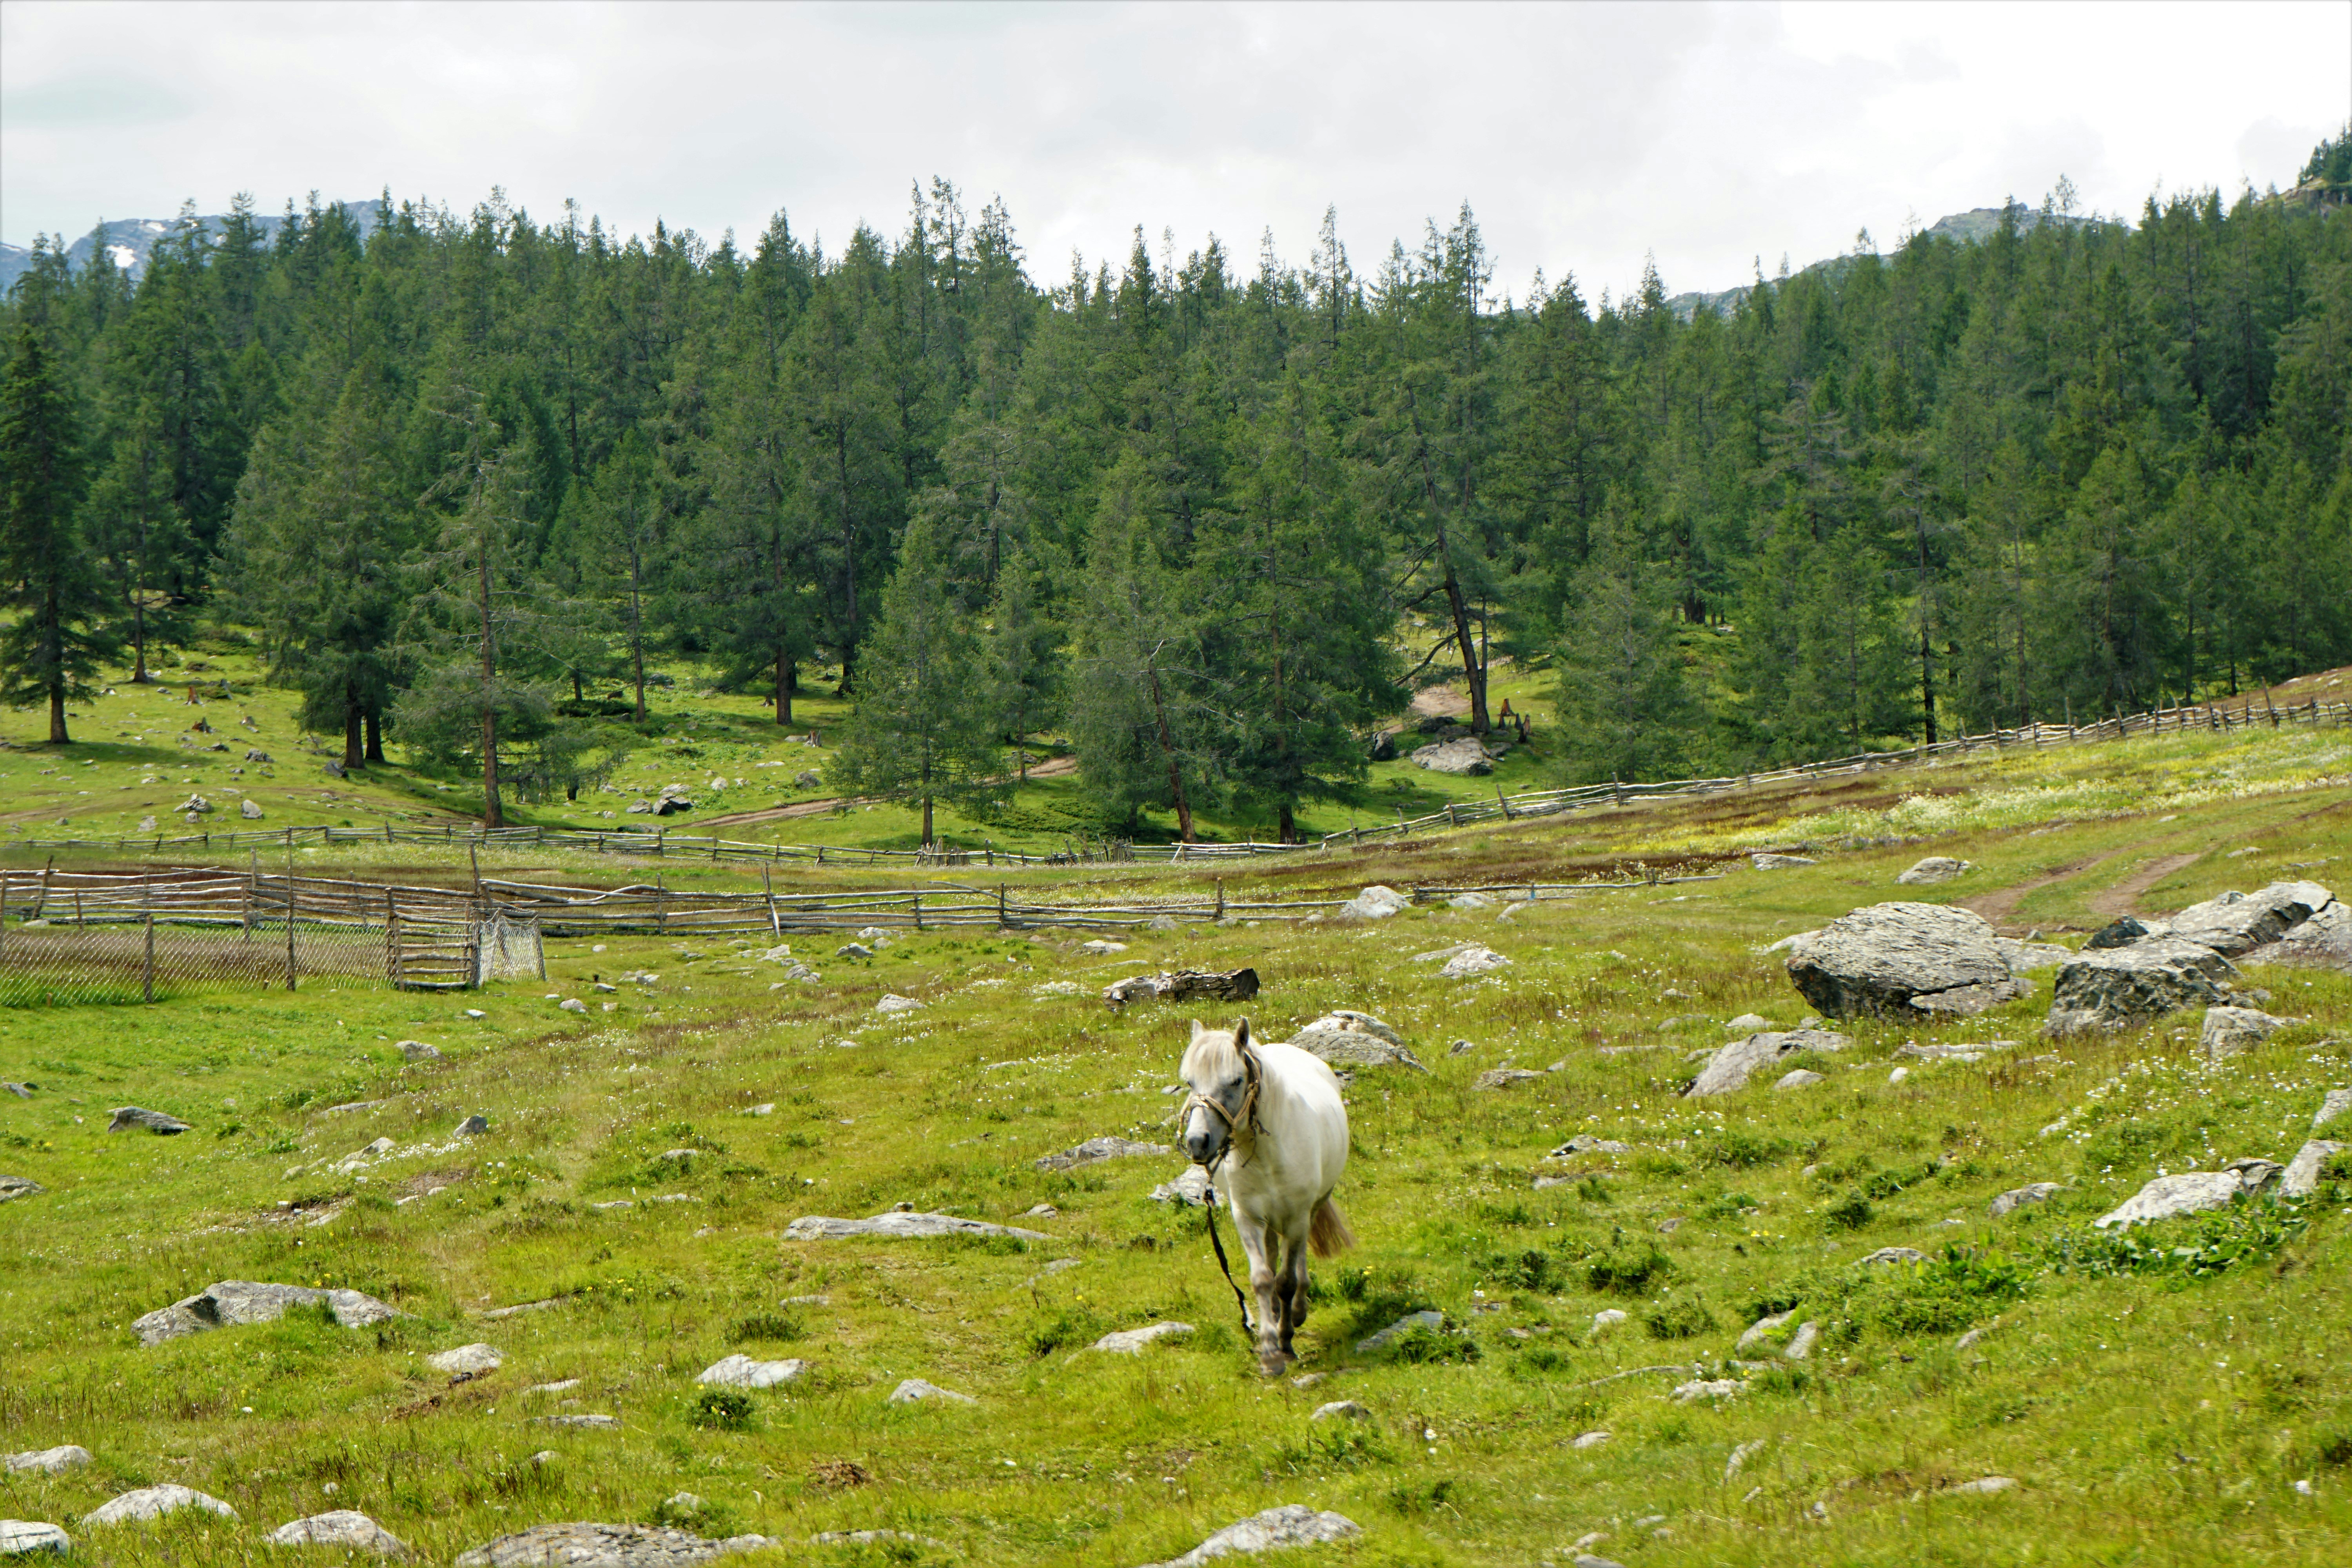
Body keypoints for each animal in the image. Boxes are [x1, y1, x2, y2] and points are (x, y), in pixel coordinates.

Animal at [1178, 1017, 1355, 1376]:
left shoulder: (1297, 1218)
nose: (1197, 1142)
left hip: (1309, 1210)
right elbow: (1262, 1279)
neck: (1266, 1156)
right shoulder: (1248, 1218)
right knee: (1273, 1255)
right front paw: (1270, 1351)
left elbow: (1287, 1280)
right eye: (1190, 1082)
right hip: (1270, 1220)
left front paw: (1286, 1341)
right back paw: (1273, 1311)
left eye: (1235, 1080)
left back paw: (1297, 1309)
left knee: (1297, 1263)